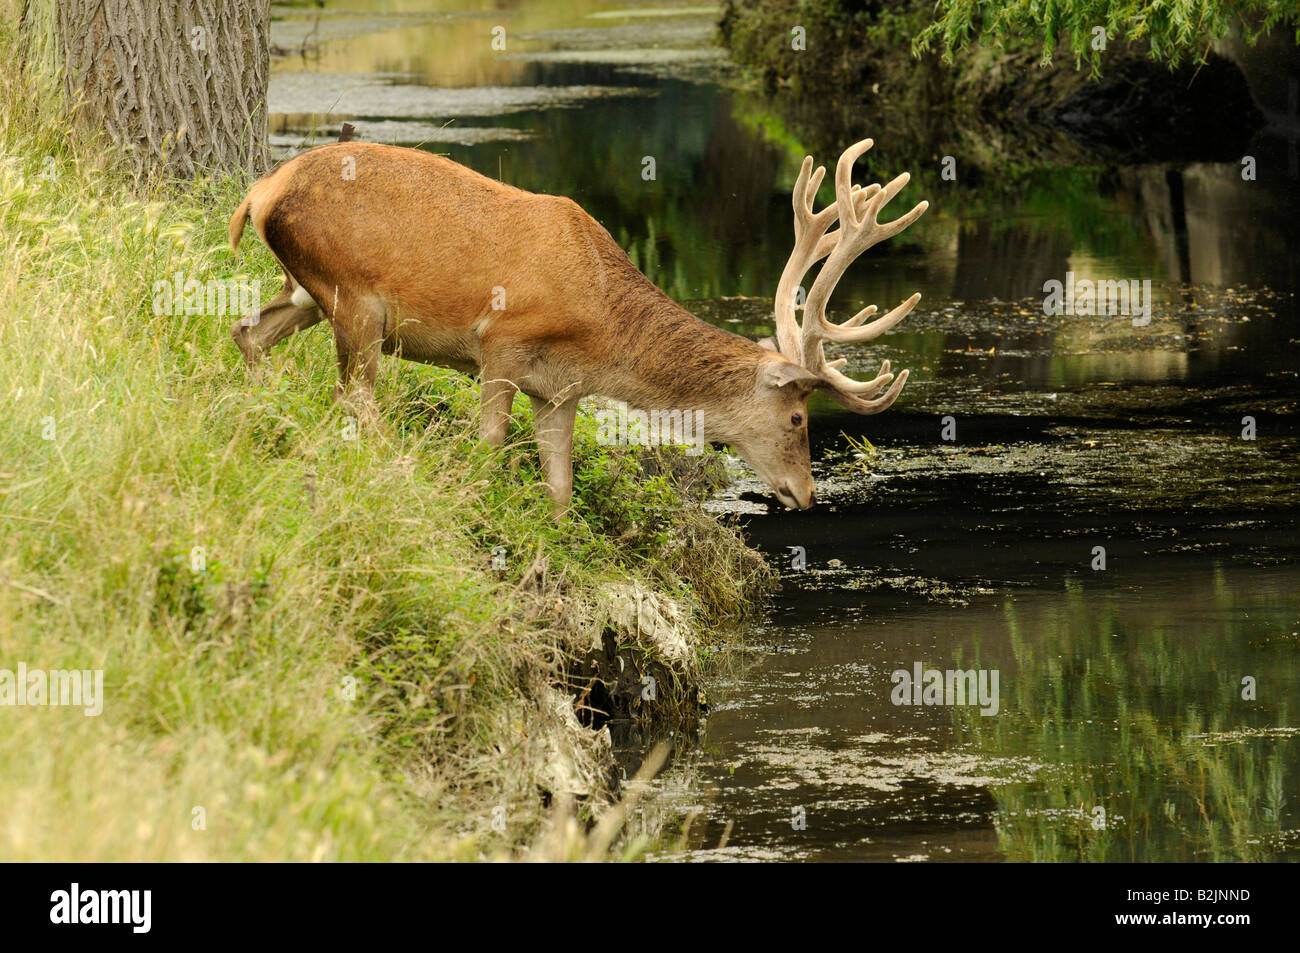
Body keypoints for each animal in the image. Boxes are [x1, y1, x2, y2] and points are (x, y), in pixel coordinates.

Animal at [227, 138, 928, 513]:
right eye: (798, 418)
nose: (805, 495)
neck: (602, 333)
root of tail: (261, 192)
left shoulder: (560, 390)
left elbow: (560, 486)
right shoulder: (500, 344)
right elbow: (489, 443)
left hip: (306, 292)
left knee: (246, 331)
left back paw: (261, 412)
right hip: (353, 298)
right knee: (356, 398)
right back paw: (391, 465)